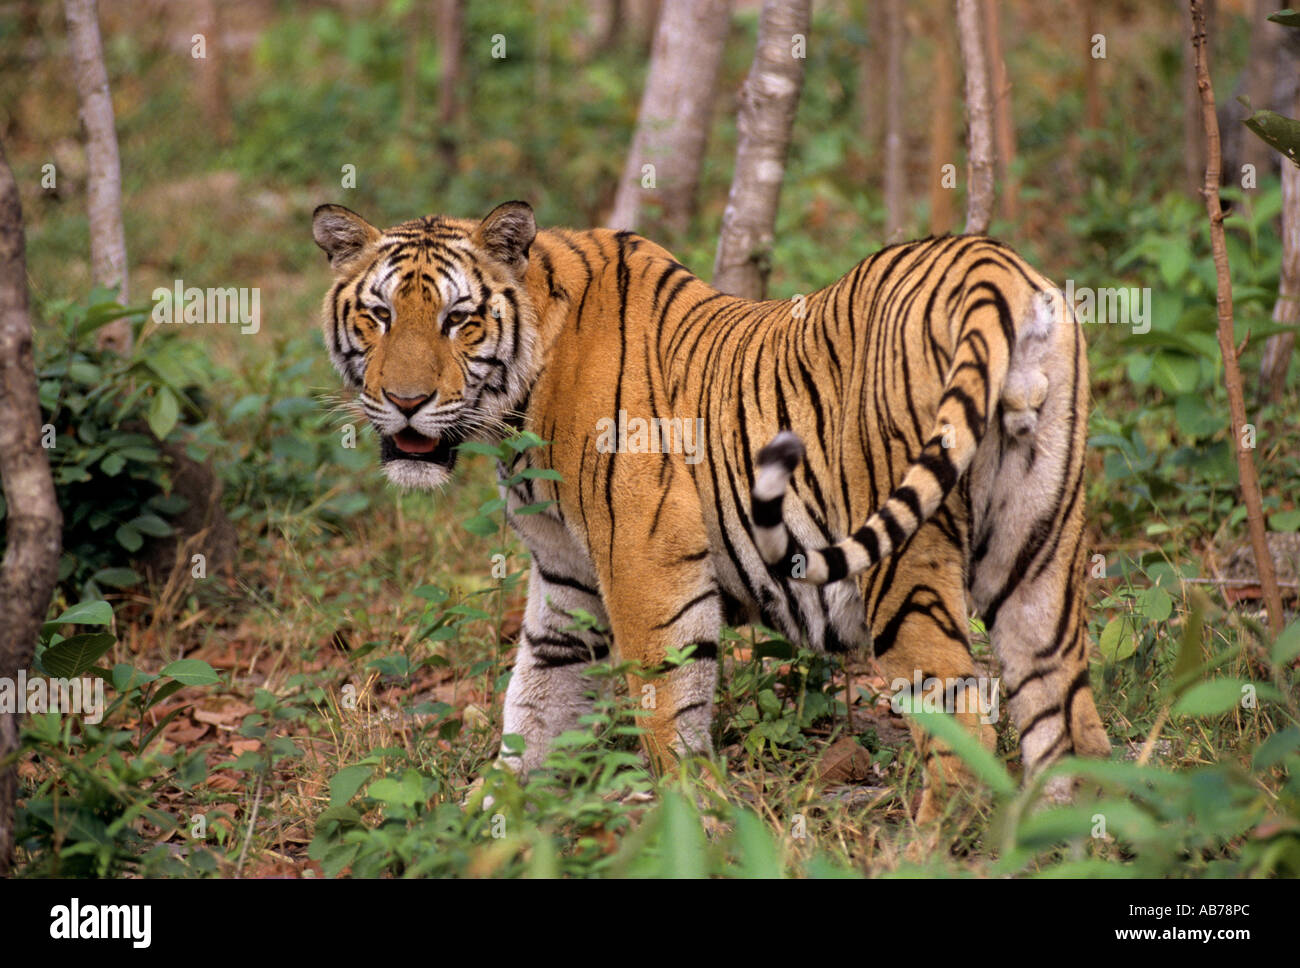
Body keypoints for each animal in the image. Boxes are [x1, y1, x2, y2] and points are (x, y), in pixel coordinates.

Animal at [311, 200, 1111, 821]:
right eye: (379, 315)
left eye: (459, 319)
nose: (406, 401)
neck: (519, 408)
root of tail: (986, 262)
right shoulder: (565, 576)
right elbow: (537, 699)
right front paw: (487, 817)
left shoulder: (647, 564)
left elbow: (667, 702)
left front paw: (691, 819)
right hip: (1036, 552)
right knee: (1067, 714)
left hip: (906, 569)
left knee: (961, 716)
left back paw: (931, 844)